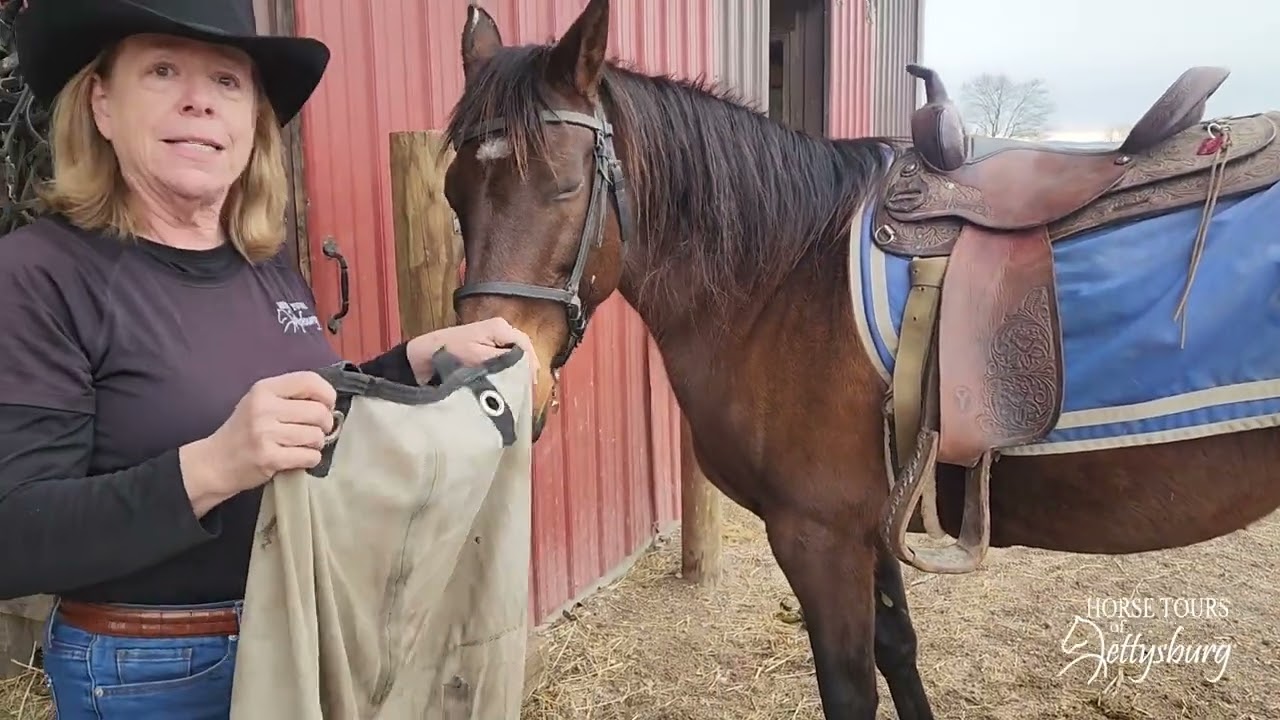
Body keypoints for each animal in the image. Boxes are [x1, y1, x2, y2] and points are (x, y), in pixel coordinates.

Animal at [441, 1, 1280, 717]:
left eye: (566, 186)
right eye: (453, 192)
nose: (489, 371)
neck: (785, 275)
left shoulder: (816, 537)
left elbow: (851, 688)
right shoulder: (870, 523)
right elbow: (898, 650)